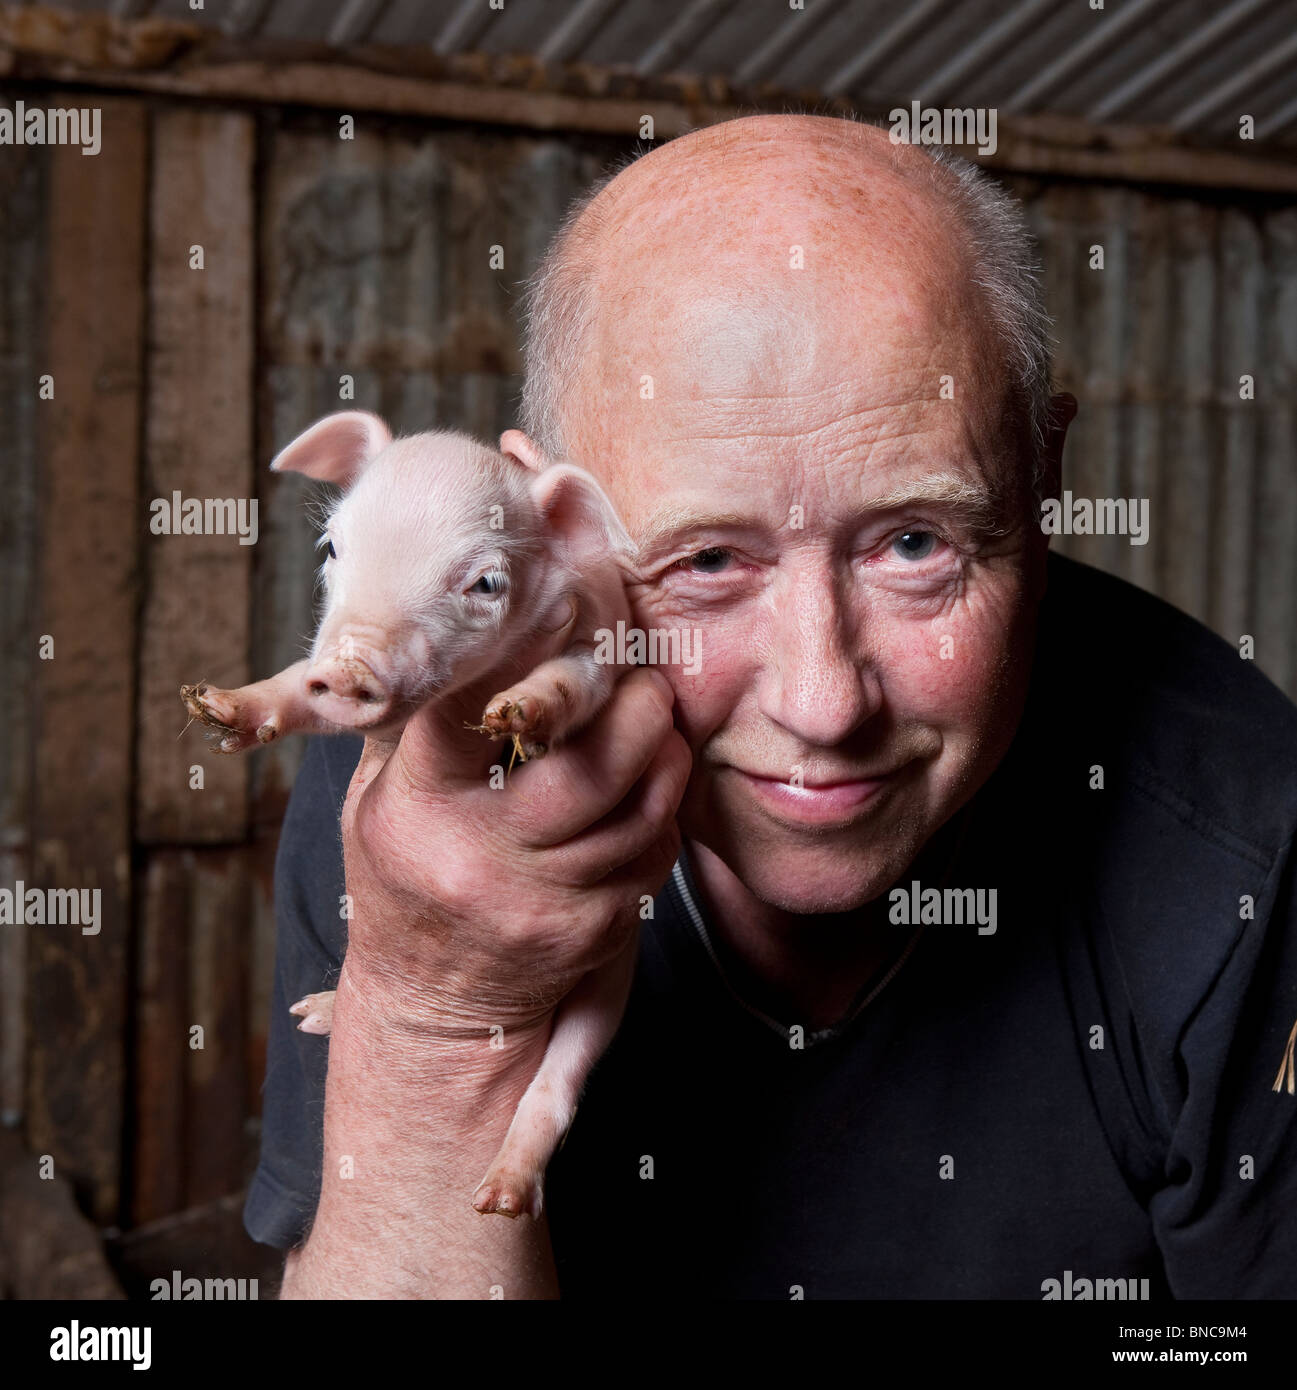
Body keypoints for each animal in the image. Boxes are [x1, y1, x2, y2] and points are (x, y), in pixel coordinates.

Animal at [181, 409, 640, 1219]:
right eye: (333, 547)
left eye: (485, 582)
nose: (350, 669)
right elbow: (293, 687)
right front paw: (216, 705)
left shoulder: (600, 647)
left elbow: (569, 683)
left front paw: (515, 713)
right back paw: (314, 1013)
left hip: (609, 982)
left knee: (557, 1084)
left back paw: (500, 1198)